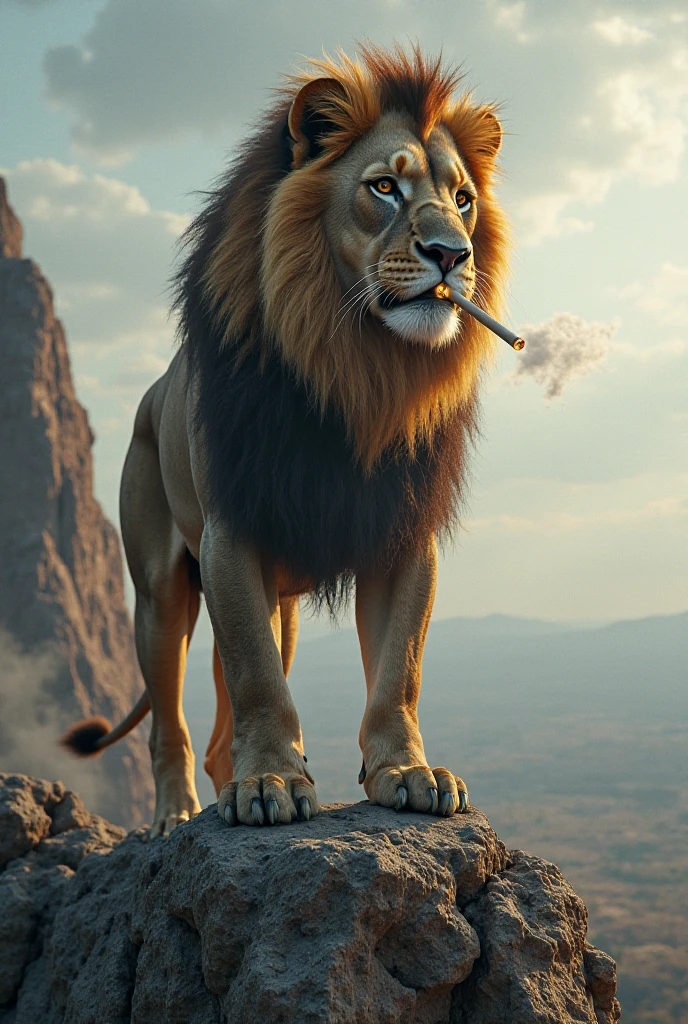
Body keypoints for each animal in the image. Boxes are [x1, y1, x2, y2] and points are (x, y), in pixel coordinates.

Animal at [62, 45, 509, 837]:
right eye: (384, 187)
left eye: (462, 199)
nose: (453, 255)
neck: (358, 367)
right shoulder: (232, 531)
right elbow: (256, 678)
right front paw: (269, 780)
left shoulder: (402, 532)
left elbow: (399, 669)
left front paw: (406, 771)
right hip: (159, 595)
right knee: (171, 725)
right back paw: (176, 815)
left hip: (285, 607)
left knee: (218, 733)